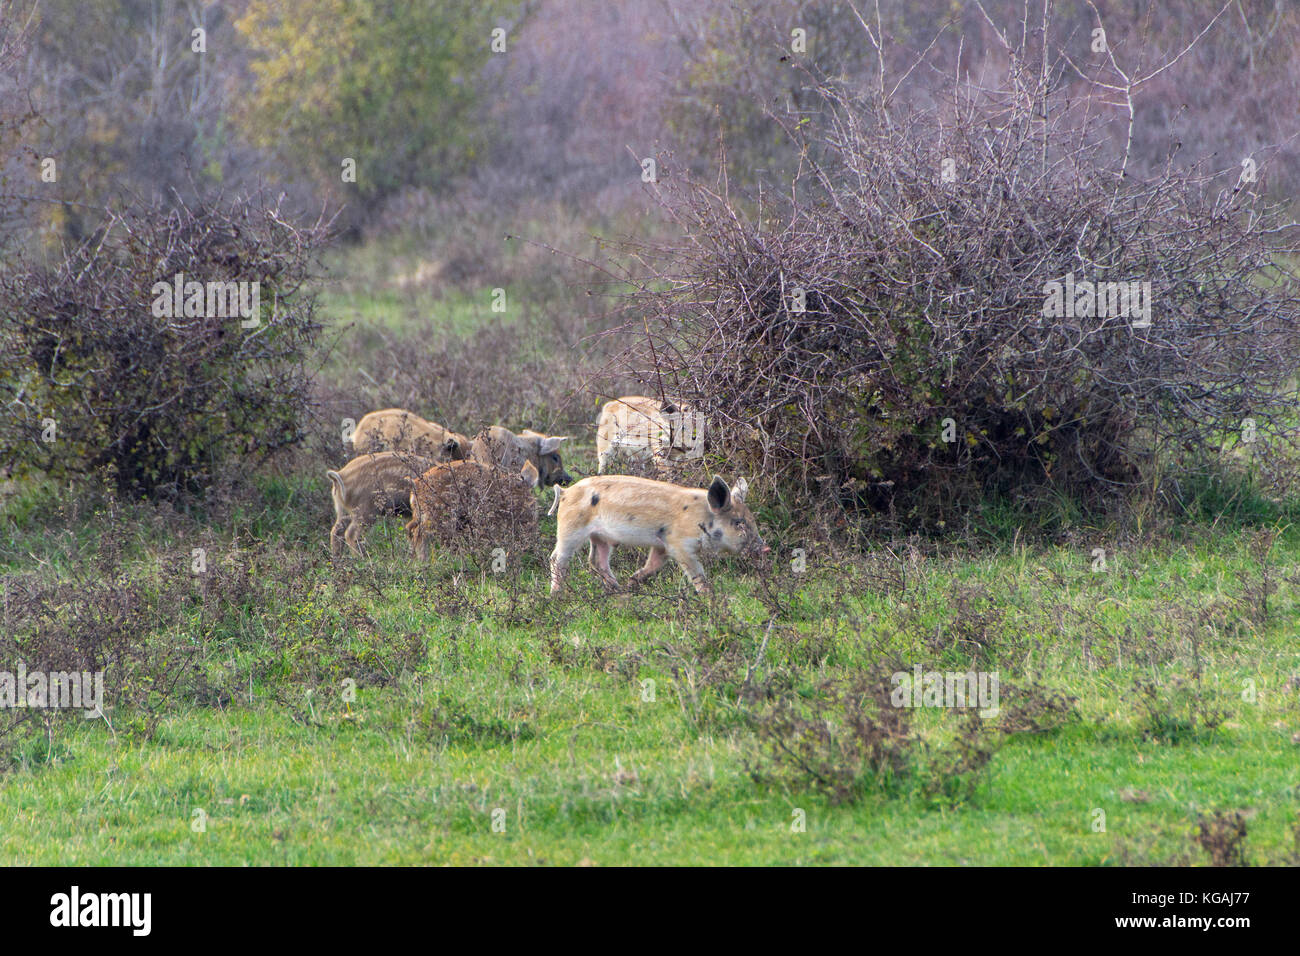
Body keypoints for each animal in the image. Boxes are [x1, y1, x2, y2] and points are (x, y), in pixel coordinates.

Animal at [548, 474, 767, 595]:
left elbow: (653, 565)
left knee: (596, 560)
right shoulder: (678, 544)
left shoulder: (662, 544)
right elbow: (697, 573)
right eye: (738, 522)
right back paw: (556, 595)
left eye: (751, 520)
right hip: (570, 528)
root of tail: (565, 492)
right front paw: (709, 597)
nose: (764, 548)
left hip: (601, 537)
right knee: (557, 558)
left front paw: (633, 582)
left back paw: (619, 590)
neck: (701, 518)